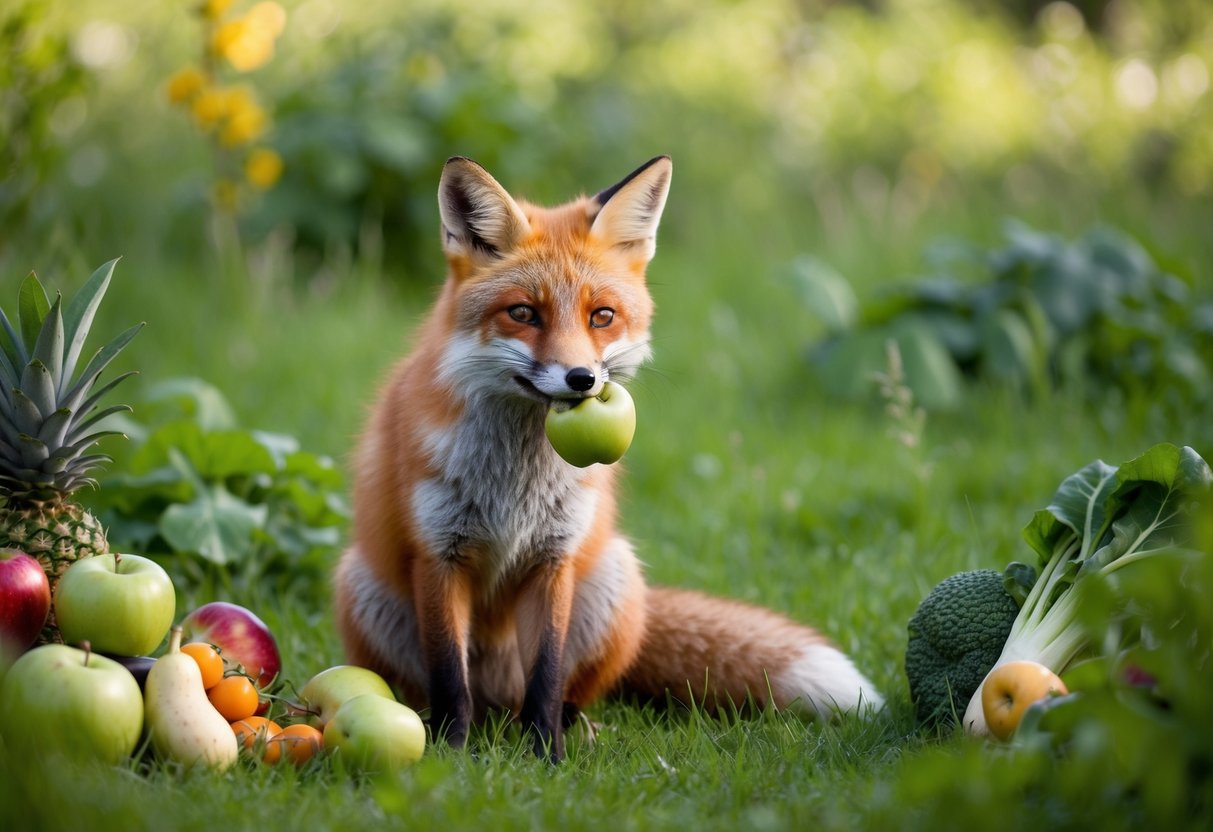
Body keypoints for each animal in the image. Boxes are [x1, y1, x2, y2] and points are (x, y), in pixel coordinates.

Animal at [333, 155, 883, 761]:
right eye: (523, 312)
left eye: (601, 316)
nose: (582, 379)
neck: (514, 480)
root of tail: (497, 703)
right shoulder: (438, 557)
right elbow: (450, 679)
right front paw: (452, 756)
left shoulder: (555, 557)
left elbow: (547, 674)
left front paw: (546, 755)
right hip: (362, 587)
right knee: (445, 693)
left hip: (616, 577)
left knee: (564, 692)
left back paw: (575, 728)